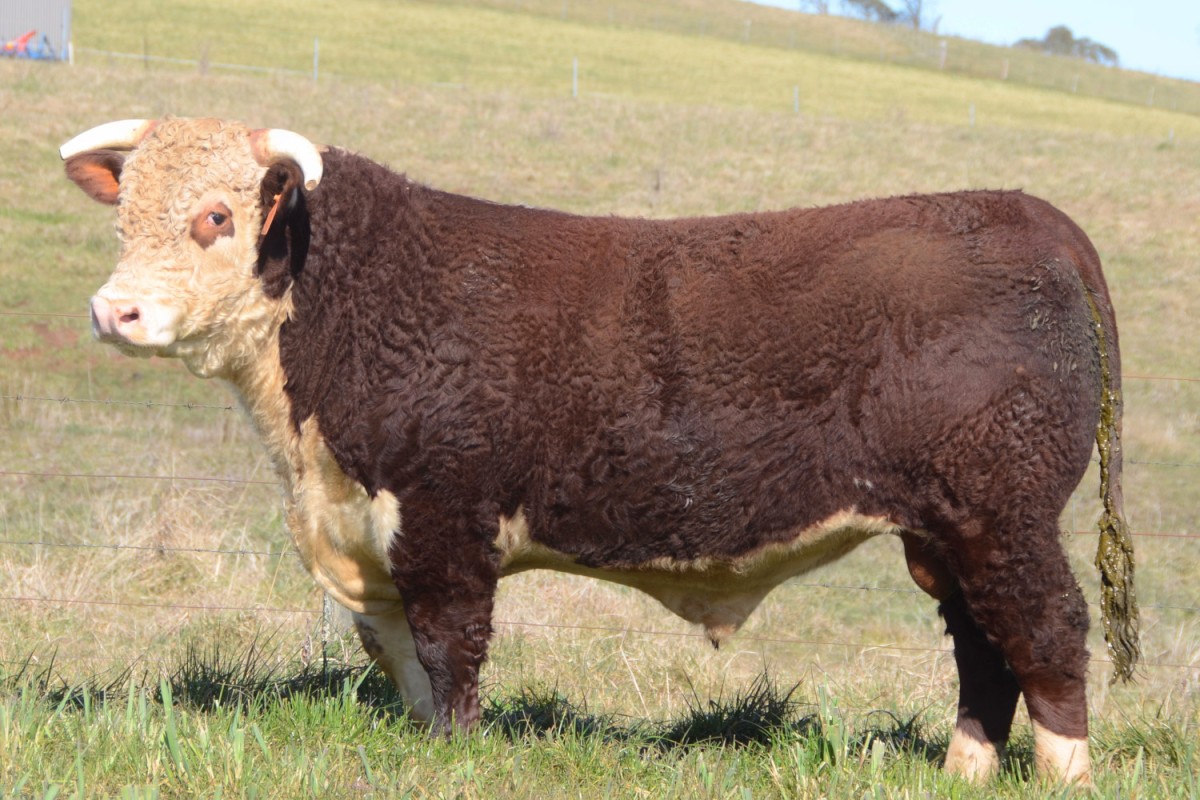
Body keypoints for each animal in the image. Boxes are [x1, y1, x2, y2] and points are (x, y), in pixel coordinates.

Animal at [60, 117, 1137, 785]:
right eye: (125, 214)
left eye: (216, 215)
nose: (114, 311)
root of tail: (1022, 210)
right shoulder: (371, 530)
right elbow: (397, 654)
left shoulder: (446, 519)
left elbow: (450, 649)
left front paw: (454, 755)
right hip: (947, 528)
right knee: (983, 648)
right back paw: (962, 772)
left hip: (1004, 512)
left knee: (1047, 631)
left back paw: (1066, 776)